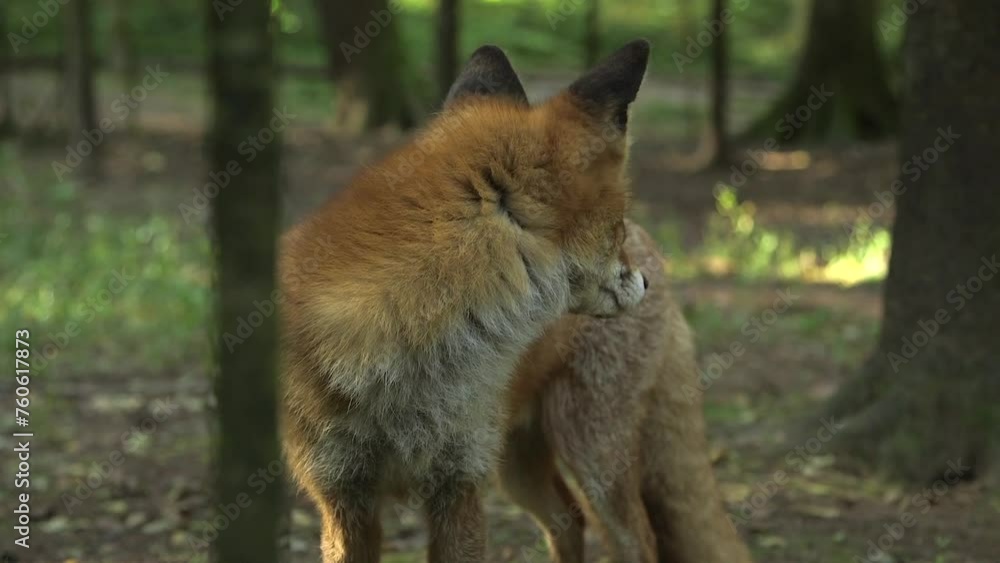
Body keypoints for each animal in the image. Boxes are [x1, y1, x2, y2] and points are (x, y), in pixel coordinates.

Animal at [279, 41, 651, 562]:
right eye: (617, 228)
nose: (646, 281)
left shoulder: (459, 481)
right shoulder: (341, 493)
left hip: (591, 465)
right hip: (519, 469)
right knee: (569, 519)